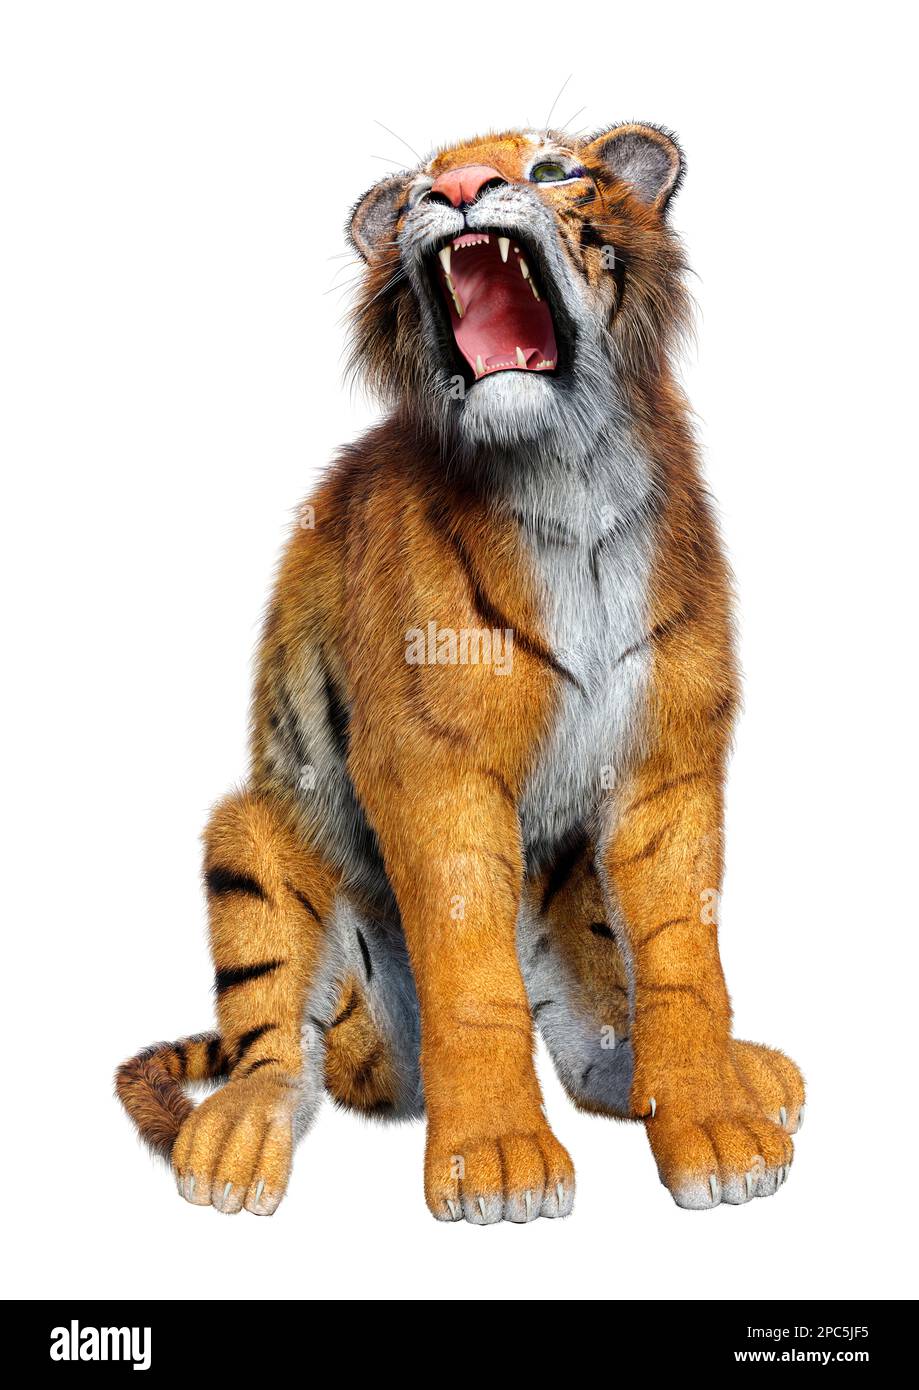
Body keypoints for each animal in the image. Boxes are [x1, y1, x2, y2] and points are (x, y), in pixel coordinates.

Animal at [116, 121, 805, 1222]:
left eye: (552, 169)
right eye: (409, 197)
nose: (458, 190)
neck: (567, 475)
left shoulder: (668, 759)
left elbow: (682, 962)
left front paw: (718, 1126)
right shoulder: (430, 762)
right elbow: (470, 976)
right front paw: (495, 1163)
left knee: (598, 1047)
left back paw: (742, 1069)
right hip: (253, 833)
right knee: (276, 1050)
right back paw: (232, 1142)